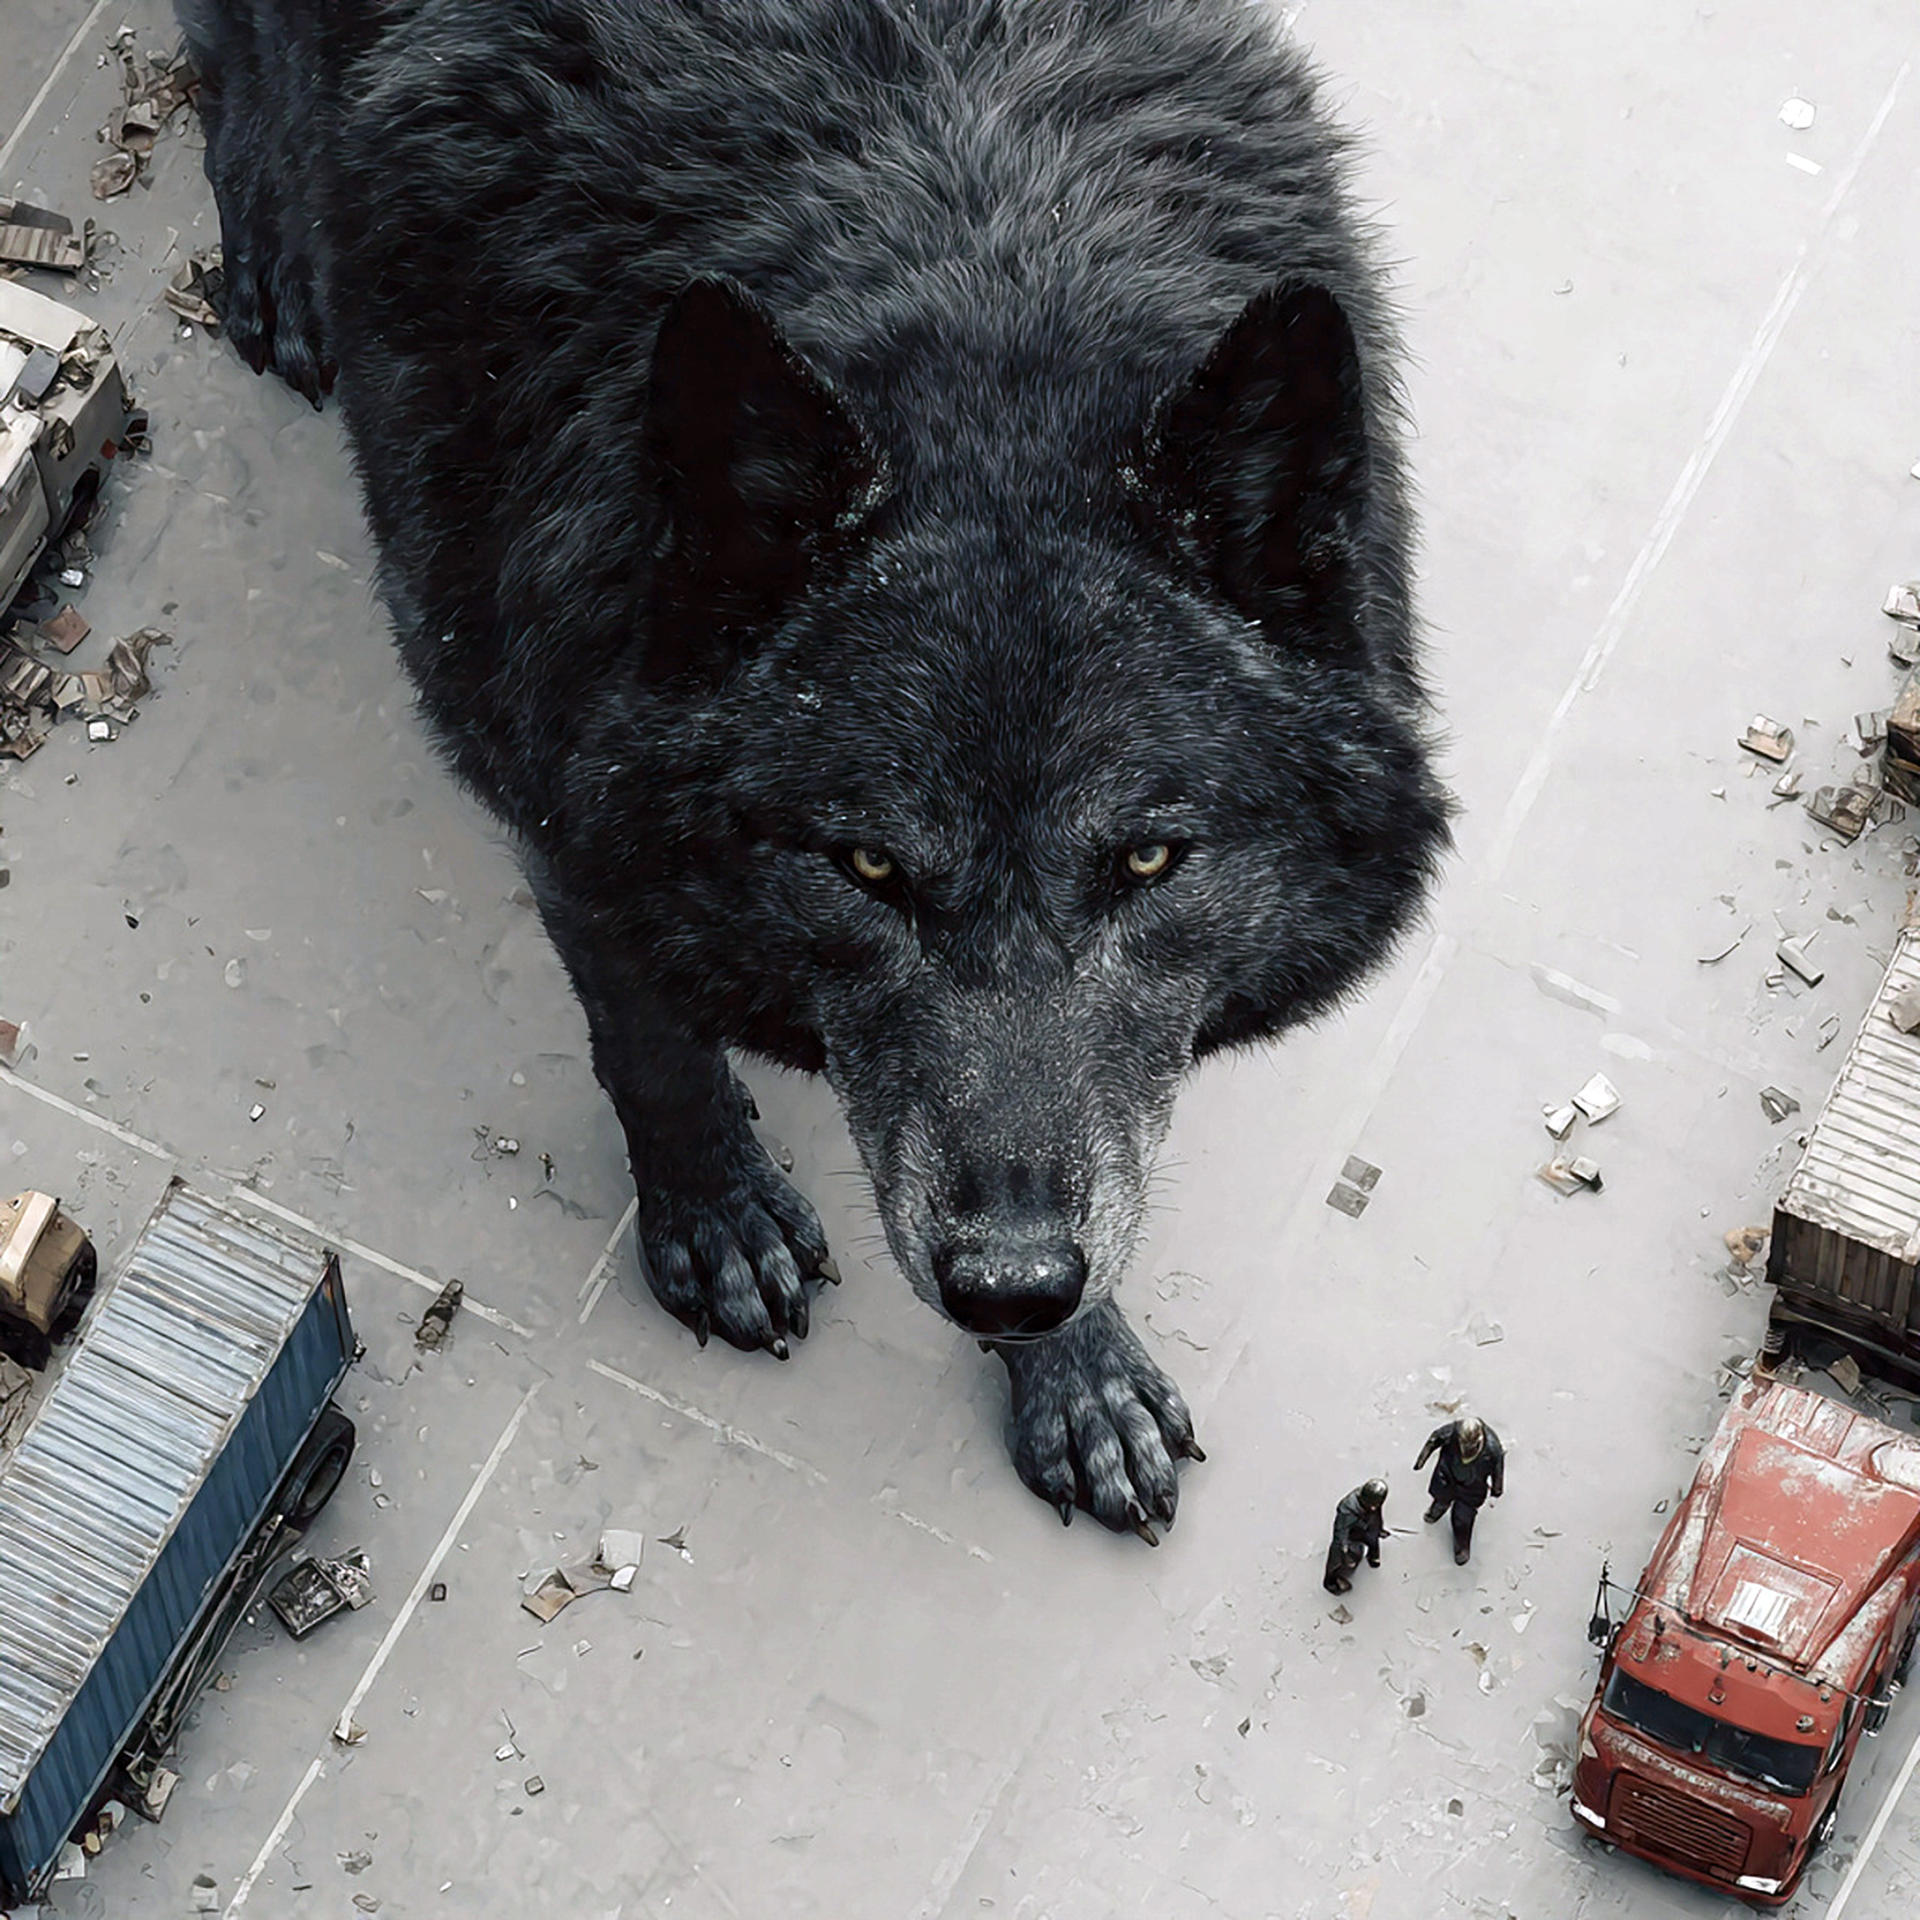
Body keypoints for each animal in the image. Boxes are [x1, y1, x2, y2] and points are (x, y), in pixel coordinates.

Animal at [176, 0, 1450, 1539]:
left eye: (1147, 859)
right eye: (868, 865)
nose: (1008, 1290)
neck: (975, 251)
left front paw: (1078, 1376)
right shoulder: (555, 782)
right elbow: (652, 1038)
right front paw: (714, 1216)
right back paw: (276, 240)